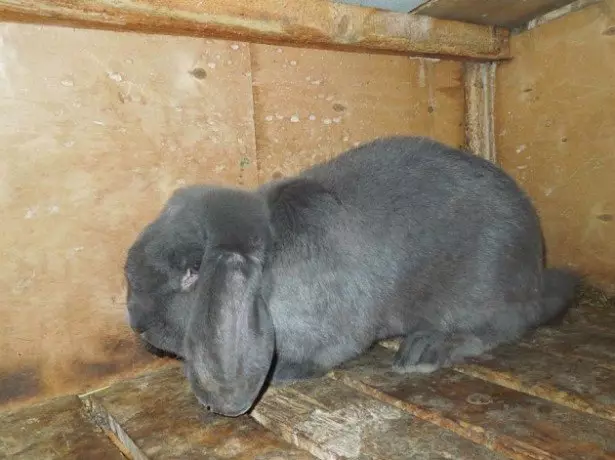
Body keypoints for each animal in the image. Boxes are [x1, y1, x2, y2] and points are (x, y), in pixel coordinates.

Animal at [124, 137, 576, 416]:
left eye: (192, 272)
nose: (137, 323)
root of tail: (535, 271)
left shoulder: (333, 331)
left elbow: (325, 354)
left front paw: (282, 374)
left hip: (483, 291)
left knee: (500, 328)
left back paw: (421, 352)